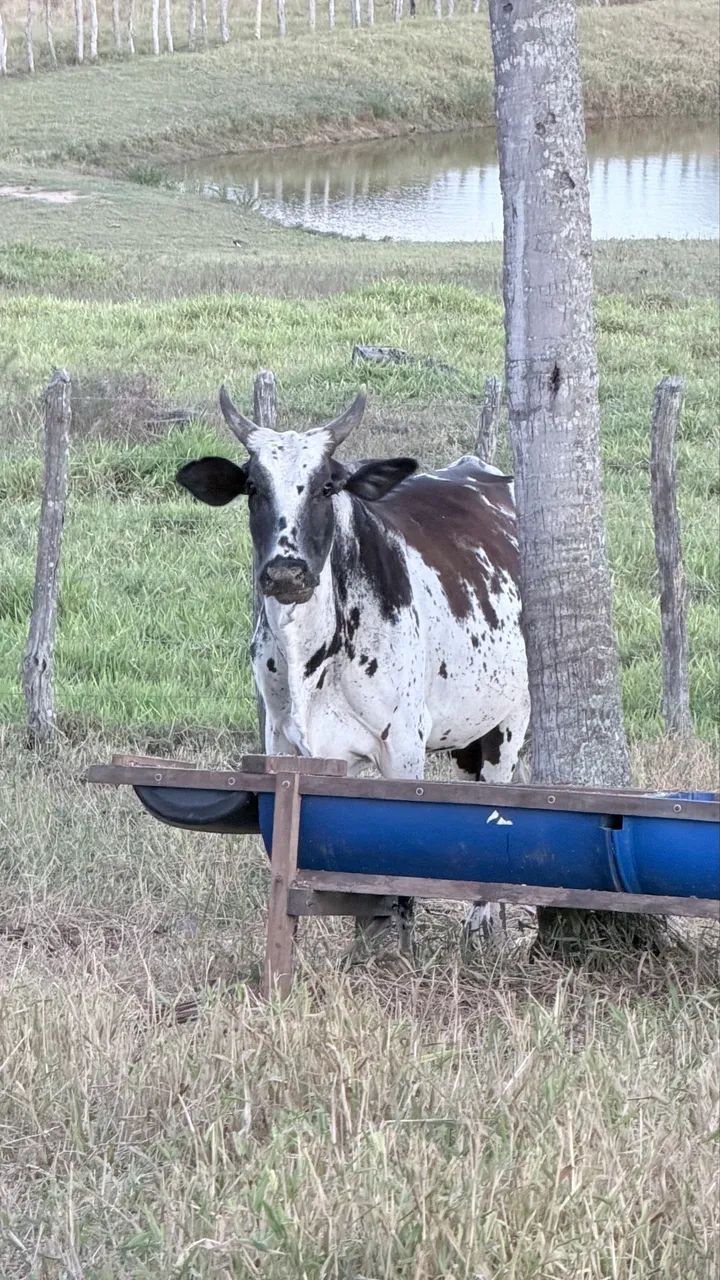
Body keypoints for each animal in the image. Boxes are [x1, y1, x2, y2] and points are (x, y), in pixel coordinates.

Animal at [177, 388, 530, 947]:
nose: (286, 572)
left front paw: (394, 947)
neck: (308, 653)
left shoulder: (404, 746)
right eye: (253, 486)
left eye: (326, 487)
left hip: (510, 718)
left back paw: (481, 927)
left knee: (496, 802)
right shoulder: (285, 745)